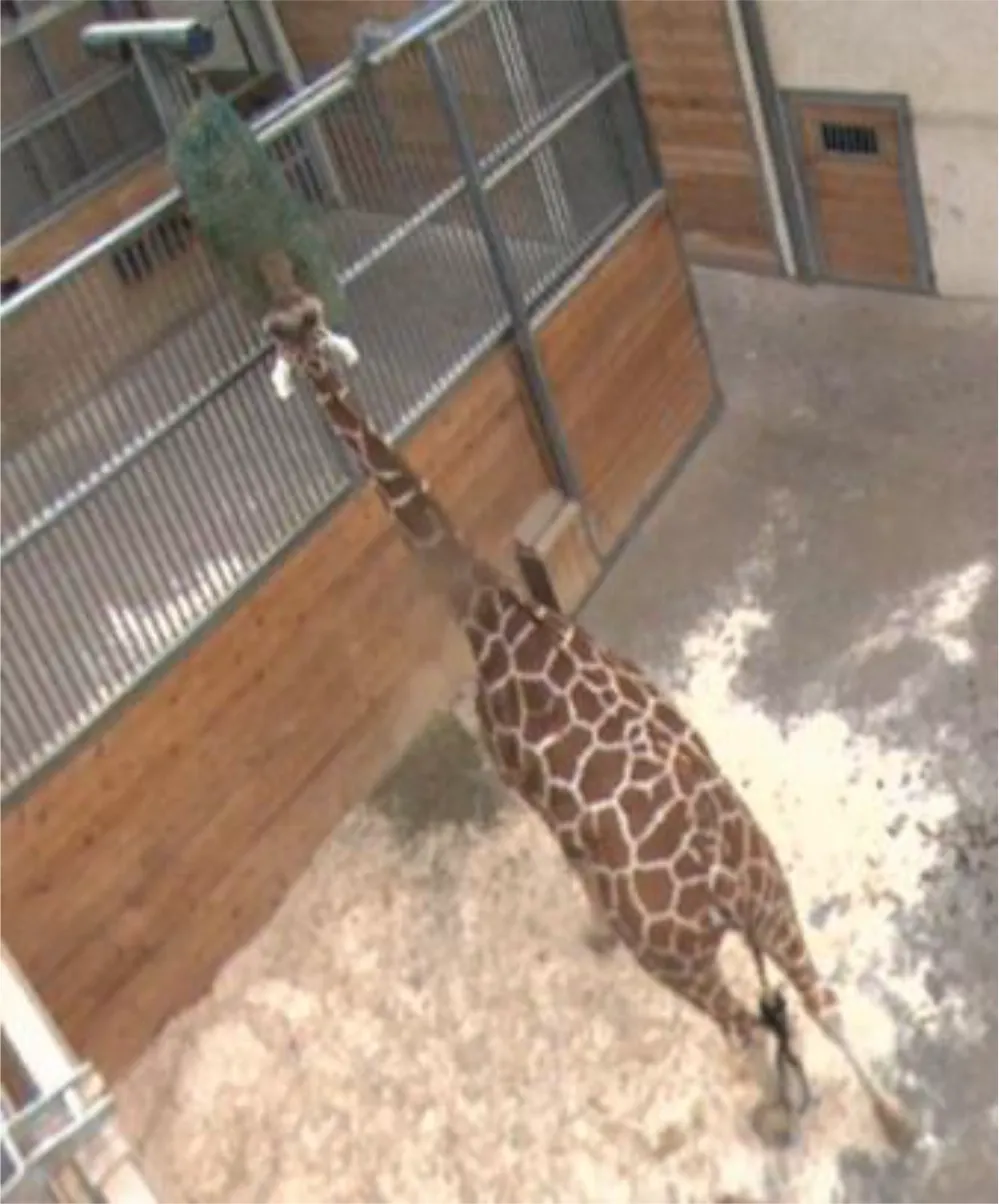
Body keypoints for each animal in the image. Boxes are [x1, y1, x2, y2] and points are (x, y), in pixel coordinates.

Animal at [262, 279, 917, 1150]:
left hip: (677, 958)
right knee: (820, 1002)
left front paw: (593, 932)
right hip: (772, 898)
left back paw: (772, 1116)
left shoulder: (522, 783)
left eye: (287, 333)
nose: (279, 328)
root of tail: (721, 886)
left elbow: (574, 869)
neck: (490, 615)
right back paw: (895, 1119)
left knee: (743, 1029)